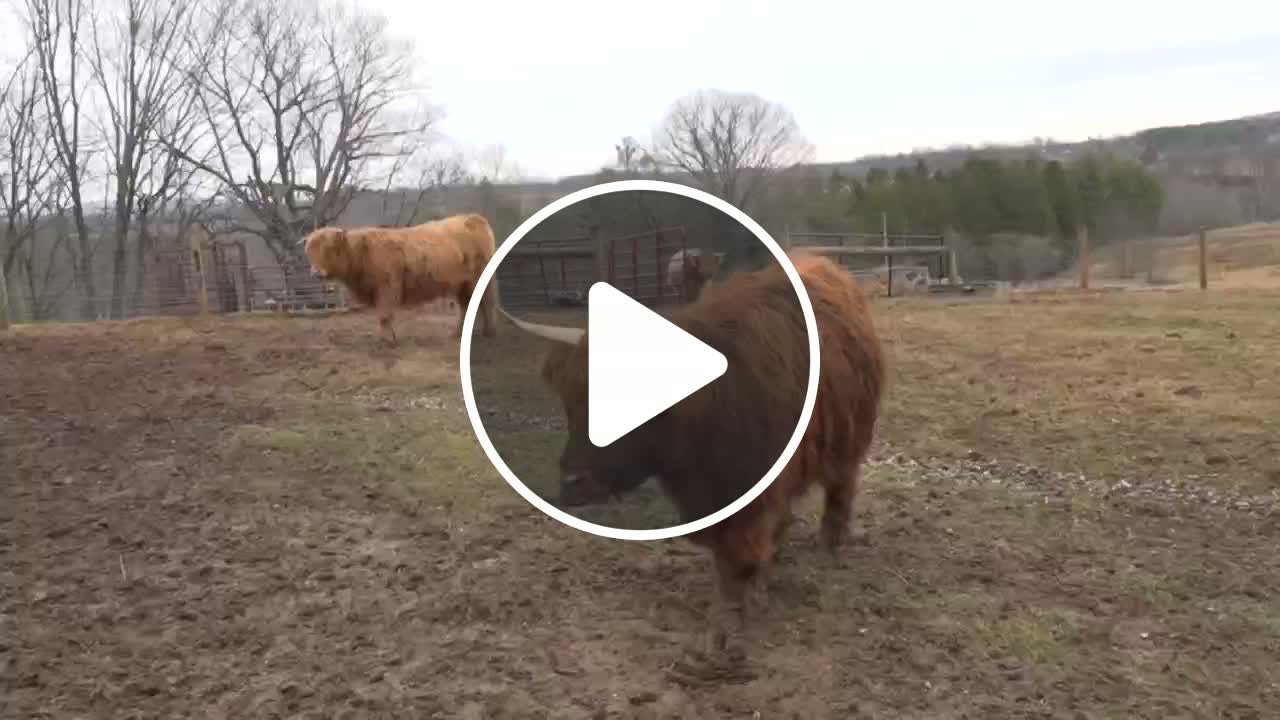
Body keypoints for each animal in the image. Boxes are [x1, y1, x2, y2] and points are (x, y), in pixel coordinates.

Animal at [300, 214, 500, 345]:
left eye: (329, 248)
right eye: (309, 251)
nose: (316, 272)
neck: (362, 252)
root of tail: (473, 218)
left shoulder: (387, 288)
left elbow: (384, 315)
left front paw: (387, 340)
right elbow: (383, 317)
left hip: (479, 280)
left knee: (487, 302)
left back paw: (490, 333)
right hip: (462, 284)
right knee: (466, 306)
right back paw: (458, 334)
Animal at [503, 251, 886, 658]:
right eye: (569, 402)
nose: (571, 481)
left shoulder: (753, 489)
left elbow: (741, 557)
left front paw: (729, 623)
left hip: (848, 436)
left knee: (841, 488)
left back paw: (832, 541)